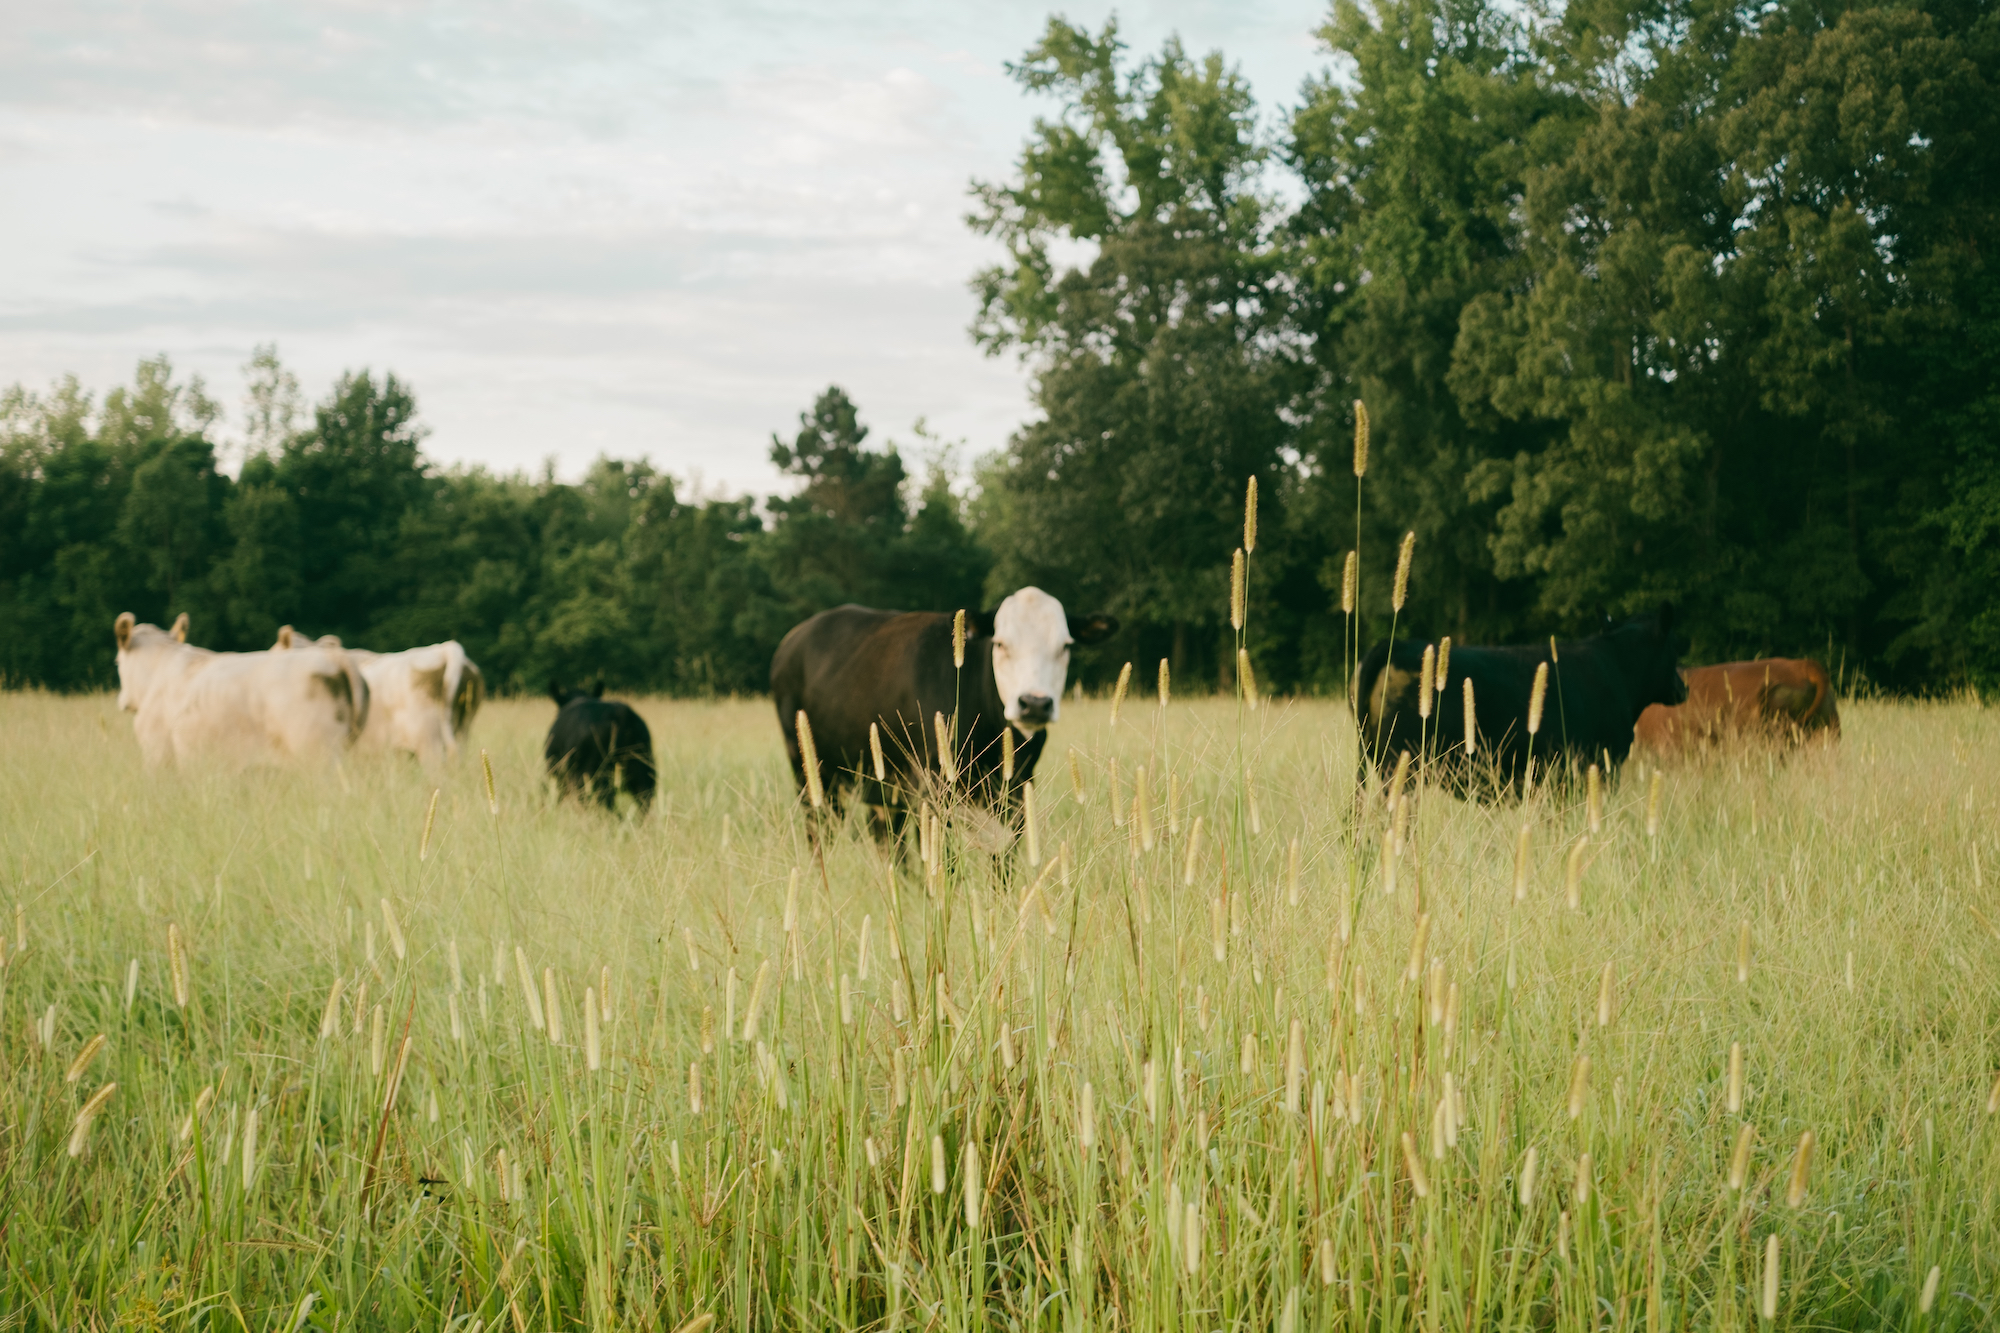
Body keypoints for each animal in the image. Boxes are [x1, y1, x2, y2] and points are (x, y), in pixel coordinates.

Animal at [770, 587, 1117, 828]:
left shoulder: (1018, 787)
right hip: (809, 772)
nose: (1034, 703)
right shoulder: (936, 789)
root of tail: (793, 638)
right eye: (1000, 643)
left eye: (1066, 646)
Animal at [1352, 608, 1686, 796]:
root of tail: (1399, 644)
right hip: (1402, 769)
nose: (1684, 687)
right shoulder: (1602, 768)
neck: (1615, 665)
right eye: (1674, 646)